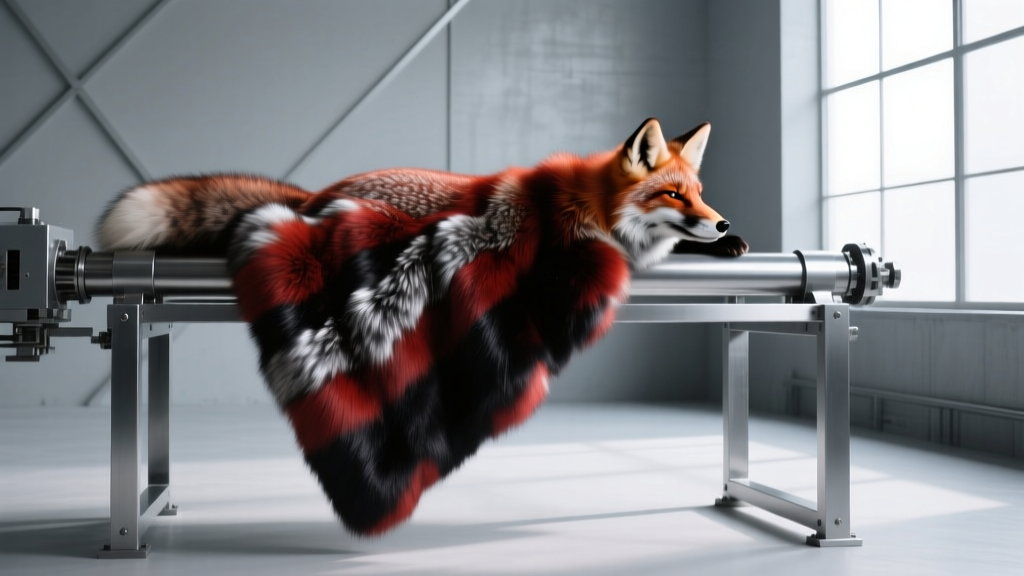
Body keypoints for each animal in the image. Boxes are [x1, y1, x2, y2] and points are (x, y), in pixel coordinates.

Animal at [98, 118, 747, 535]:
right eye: (672, 194)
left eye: (699, 194)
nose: (720, 222)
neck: (591, 205)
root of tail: (313, 197)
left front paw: (729, 244)